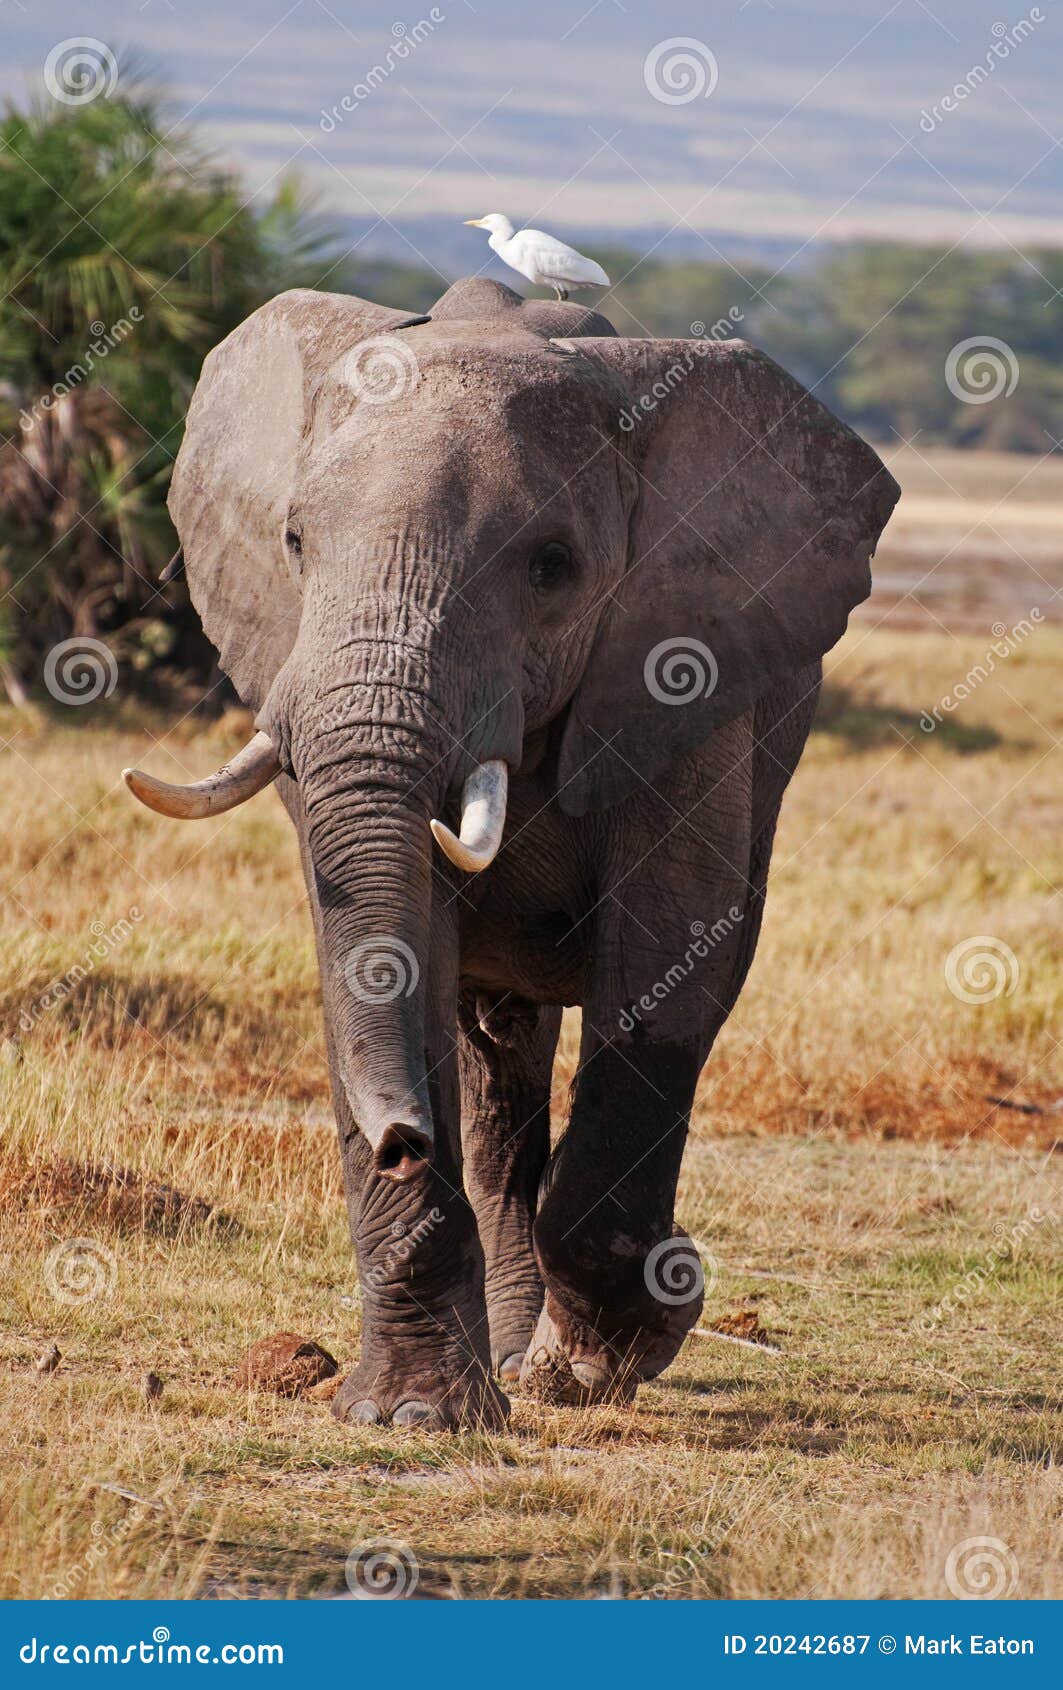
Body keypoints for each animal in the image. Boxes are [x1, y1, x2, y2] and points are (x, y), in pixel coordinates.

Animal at [123, 277, 899, 1430]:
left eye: (552, 567)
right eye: (295, 540)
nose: (401, 1138)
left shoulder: (685, 664)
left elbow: (669, 964)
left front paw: (616, 1348)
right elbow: (382, 967)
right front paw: (413, 1417)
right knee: (496, 1073)